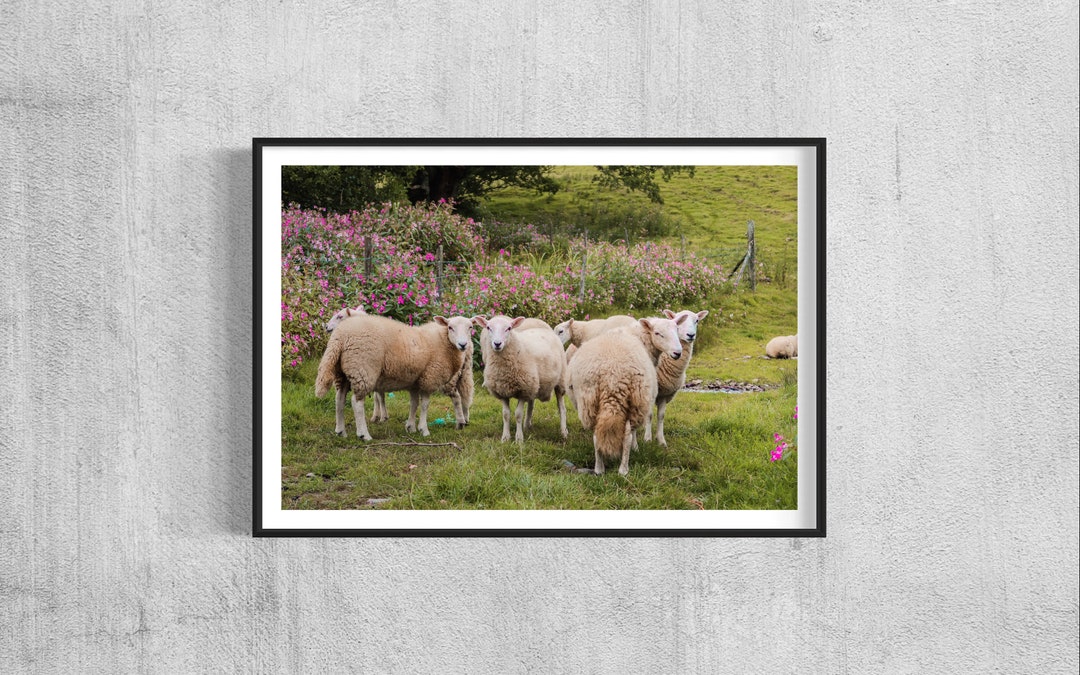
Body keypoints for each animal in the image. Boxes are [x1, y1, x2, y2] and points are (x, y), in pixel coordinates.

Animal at [315, 314, 475, 439]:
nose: (463, 344)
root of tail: (339, 336)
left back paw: (341, 431)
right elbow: (424, 405)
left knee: (339, 399)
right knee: (356, 402)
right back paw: (364, 434)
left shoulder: (415, 382)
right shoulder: (429, 378)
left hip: (343, 374)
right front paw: (423, 429)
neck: (443, 341)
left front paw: (411, 427)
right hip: (363, 369)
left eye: (470, 327)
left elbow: (414, 403)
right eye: (450, 327)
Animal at [473, 315, 568, 443]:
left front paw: (519, 439)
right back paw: (527, 426)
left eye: (508, 328)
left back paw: (564, 432)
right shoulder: (503, 391)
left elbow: (518, 414)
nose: (497, 343)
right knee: (531, 405)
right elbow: (506, 414)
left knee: (562, 408)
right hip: (534, 383)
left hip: (560, 381)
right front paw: (505, 437)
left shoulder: (523, 390)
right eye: (488, 327)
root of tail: (546, 330)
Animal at [568, 316, 685, 475]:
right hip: (634, 398)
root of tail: (612, 375)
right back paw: (623, 470)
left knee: (596, 434)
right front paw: (636, 448)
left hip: (589, 400)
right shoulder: (641, 401)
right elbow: (634, 432)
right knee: (627, 435)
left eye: (677, 330)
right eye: (657, 333)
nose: (677, 353)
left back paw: (599, 469)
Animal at [643, 309, 711, 447]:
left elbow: (661, 416)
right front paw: (647, 439)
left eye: (697, 320)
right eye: (679, 323)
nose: (691, 335)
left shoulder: (664, 393)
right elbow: (649, 415)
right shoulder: (650, 391)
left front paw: (661, 441)